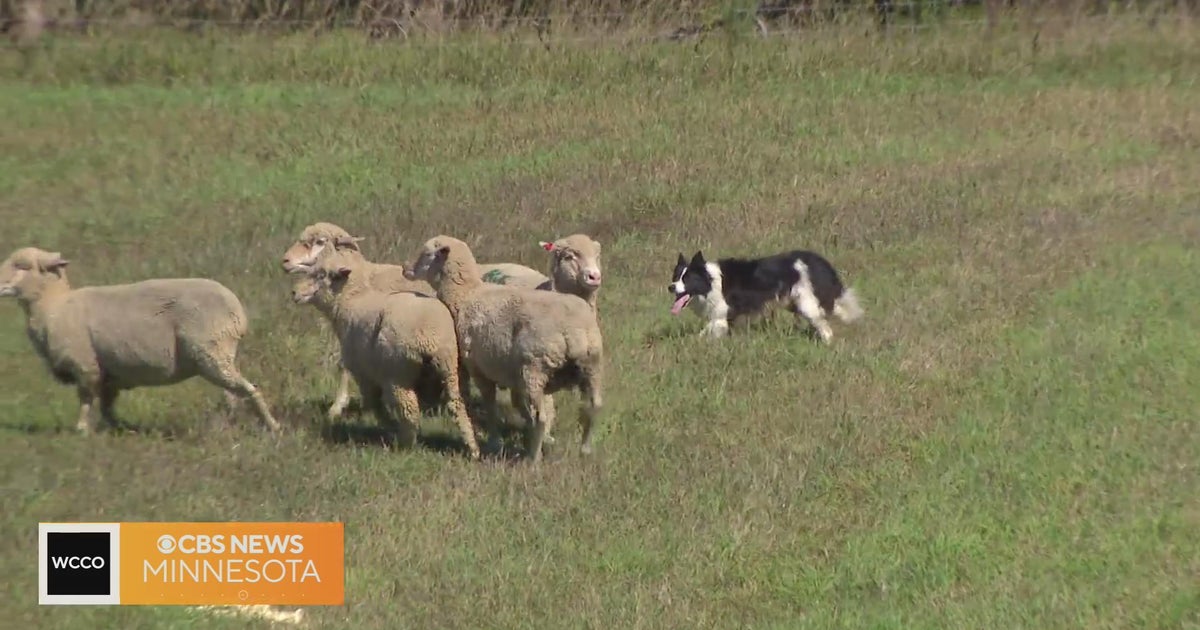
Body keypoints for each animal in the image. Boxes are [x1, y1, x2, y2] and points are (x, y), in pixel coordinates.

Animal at [0, 247, 281, 434]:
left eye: (22, 266)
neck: (54, 306)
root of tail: (237, 312)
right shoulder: (108, 373)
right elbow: (107, 406)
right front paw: (120, 429)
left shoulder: (86, 367)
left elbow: (86, 401)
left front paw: (82, 430)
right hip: (219, 356)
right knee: (233, 393)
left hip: (210, 353)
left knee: (250, 389)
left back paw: (272, 426)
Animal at [289, 250, 480, 459]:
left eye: (321, 275)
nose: (294, 292)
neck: (350, 301)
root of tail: (428, 335)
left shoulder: (363, 371)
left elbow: (373, 402)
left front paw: (387, 426)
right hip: (450, 367)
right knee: (457, 404)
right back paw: (472, 448)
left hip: (398, 371)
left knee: (410, 409)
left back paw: (405, 444)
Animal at [404, 235, 604, 462]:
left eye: (427, 253)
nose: (406, 268)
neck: (466, 293)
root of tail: (571, 329)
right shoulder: (514, 376)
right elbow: (520, 408)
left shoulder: (480, 370)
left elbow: (491, 406)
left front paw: (494, 441)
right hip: (592, 366)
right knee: (593, 407)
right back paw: (585, 450)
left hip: (535, 369)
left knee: (541, 417)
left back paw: (533, 458)